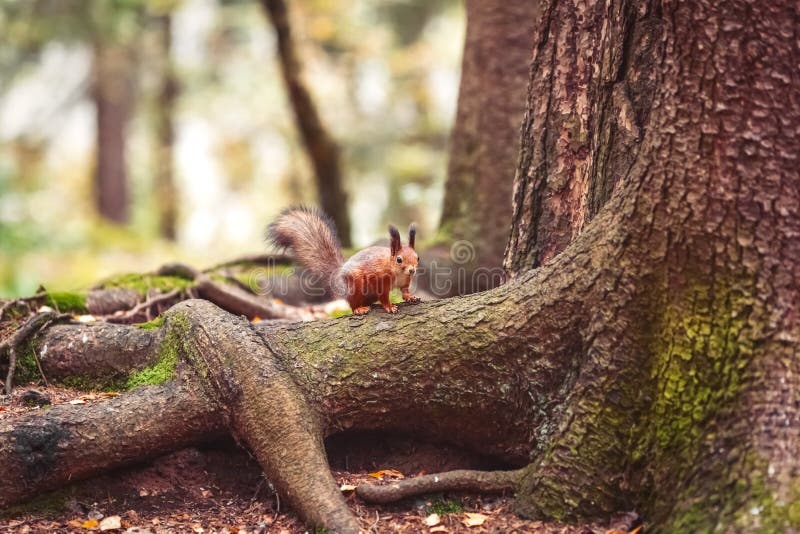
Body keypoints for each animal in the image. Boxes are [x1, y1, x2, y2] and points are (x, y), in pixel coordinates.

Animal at [267, 206, 420, 315]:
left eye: (417, 257)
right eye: (399, 259)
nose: (412, 270)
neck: (398, 272)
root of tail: (337, 278)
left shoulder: (405, 281)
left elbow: (404, 291)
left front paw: (411, 297)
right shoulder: (379, 278)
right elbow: (383, 296)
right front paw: (389, 306)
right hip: (356, 284)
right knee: (352, 304)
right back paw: (359, 309)